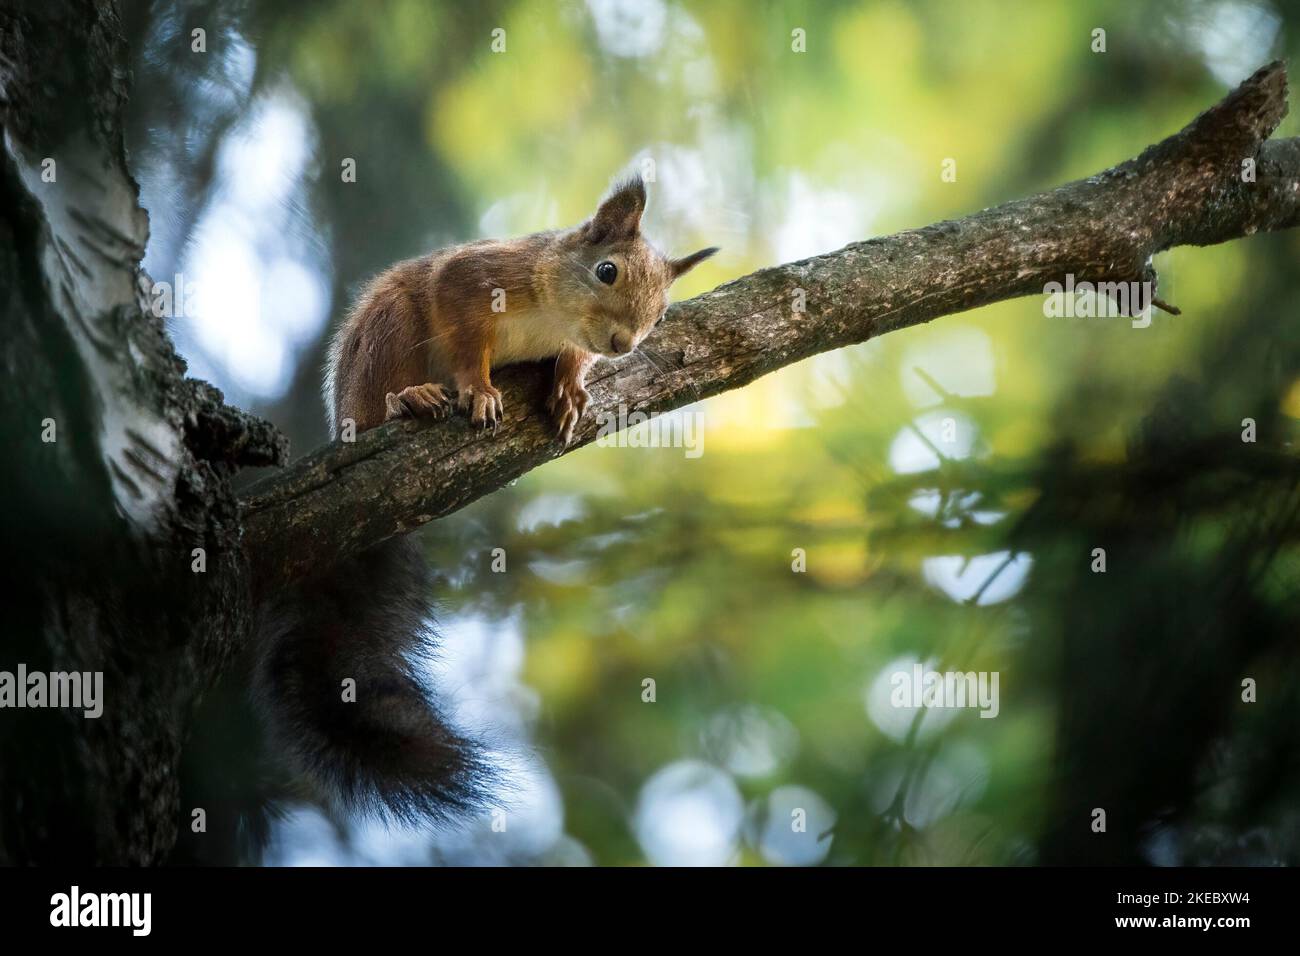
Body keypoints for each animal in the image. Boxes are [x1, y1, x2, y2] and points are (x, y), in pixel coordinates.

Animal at [251, 174, 716, 826]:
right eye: (607, 271)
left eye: (663, 309)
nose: (624, 344)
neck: (553, 313)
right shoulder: (478, 279)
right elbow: (467, 339)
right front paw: (479, 388)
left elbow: (573, 358)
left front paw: (571, 385)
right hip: (386, 334)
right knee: (381, 396)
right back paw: (407, 400)